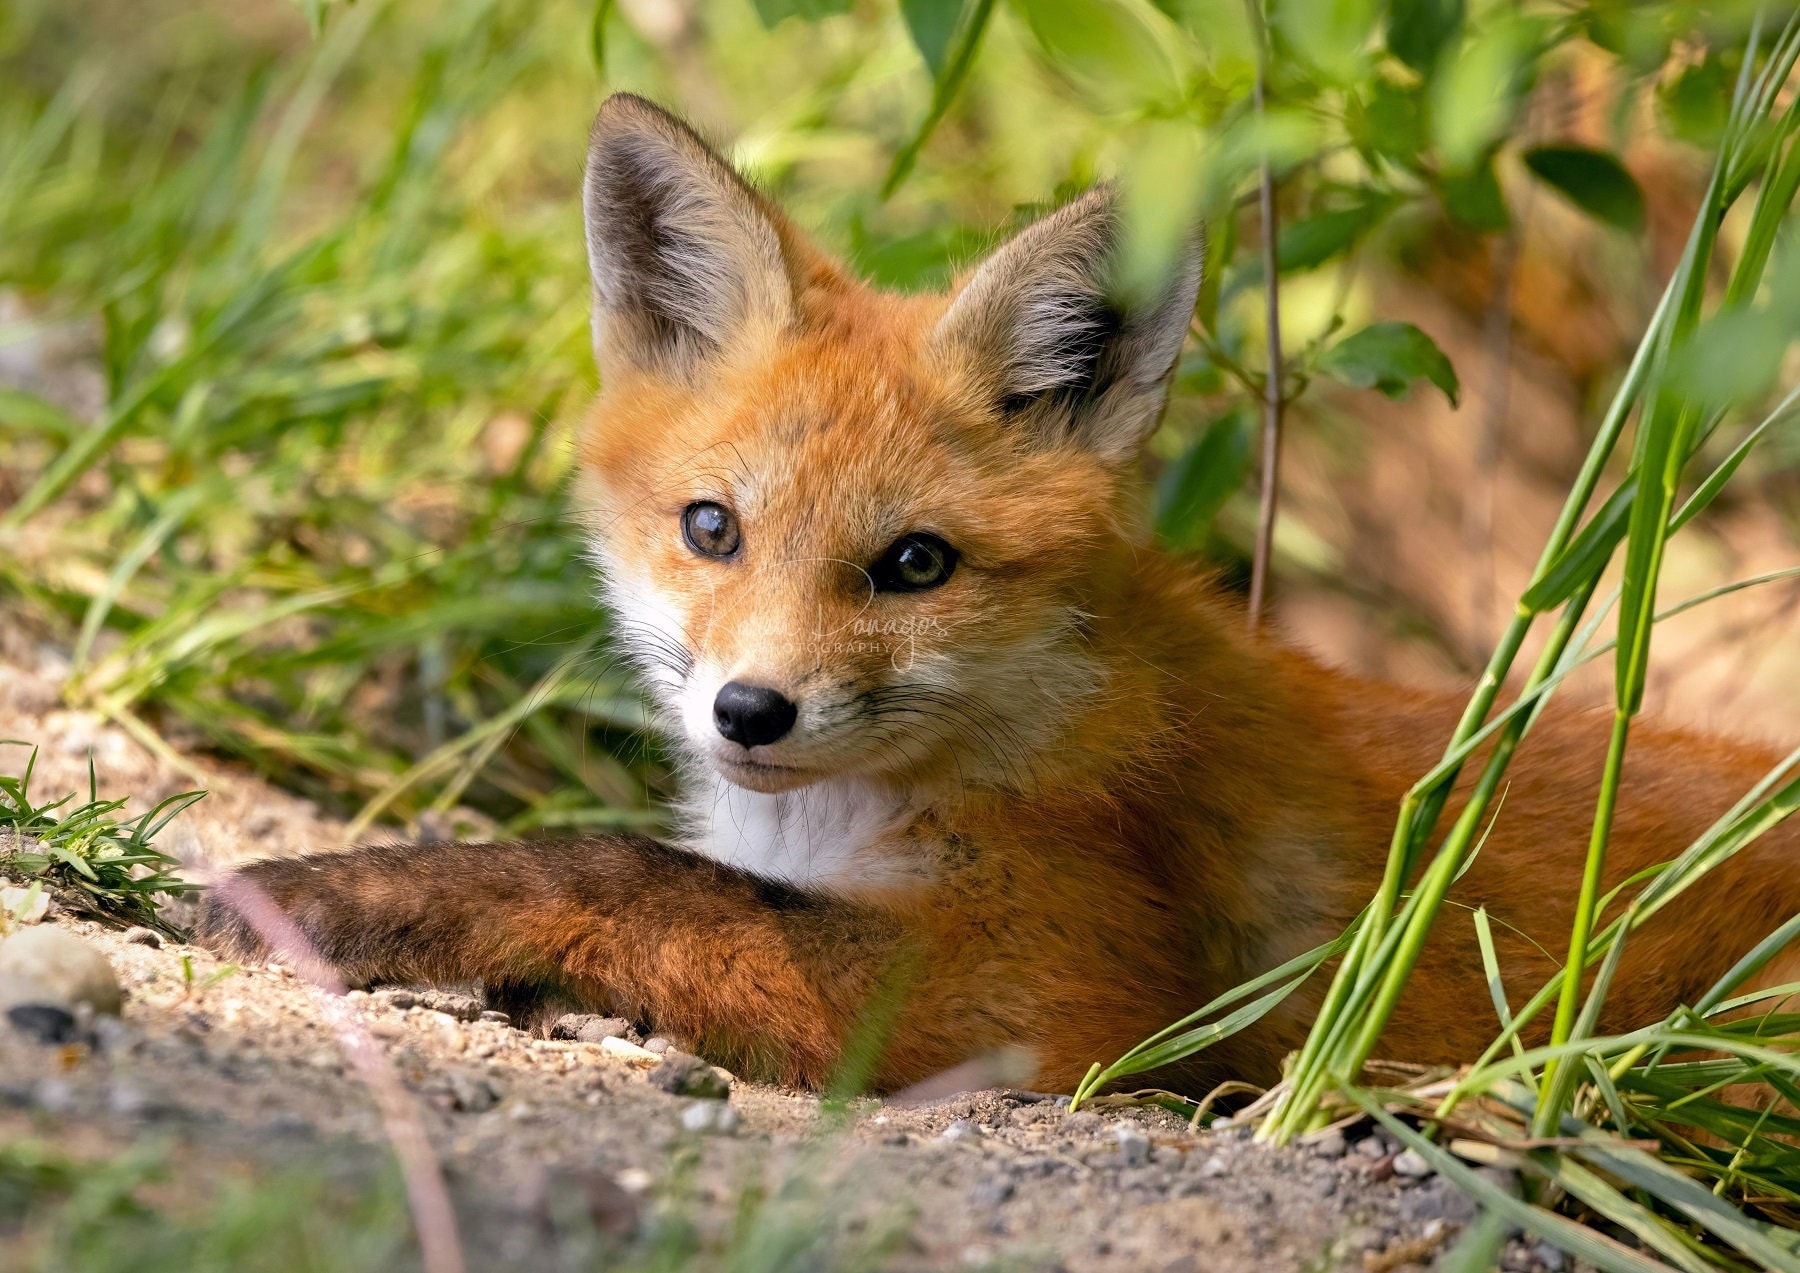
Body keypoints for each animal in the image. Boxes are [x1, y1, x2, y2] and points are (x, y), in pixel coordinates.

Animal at [199, 93, 1800, 1096]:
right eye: (713, 528)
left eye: (915, 564)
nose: (750, 711)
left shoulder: (1055, 994)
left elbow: (645, 877)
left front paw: (351, 897)